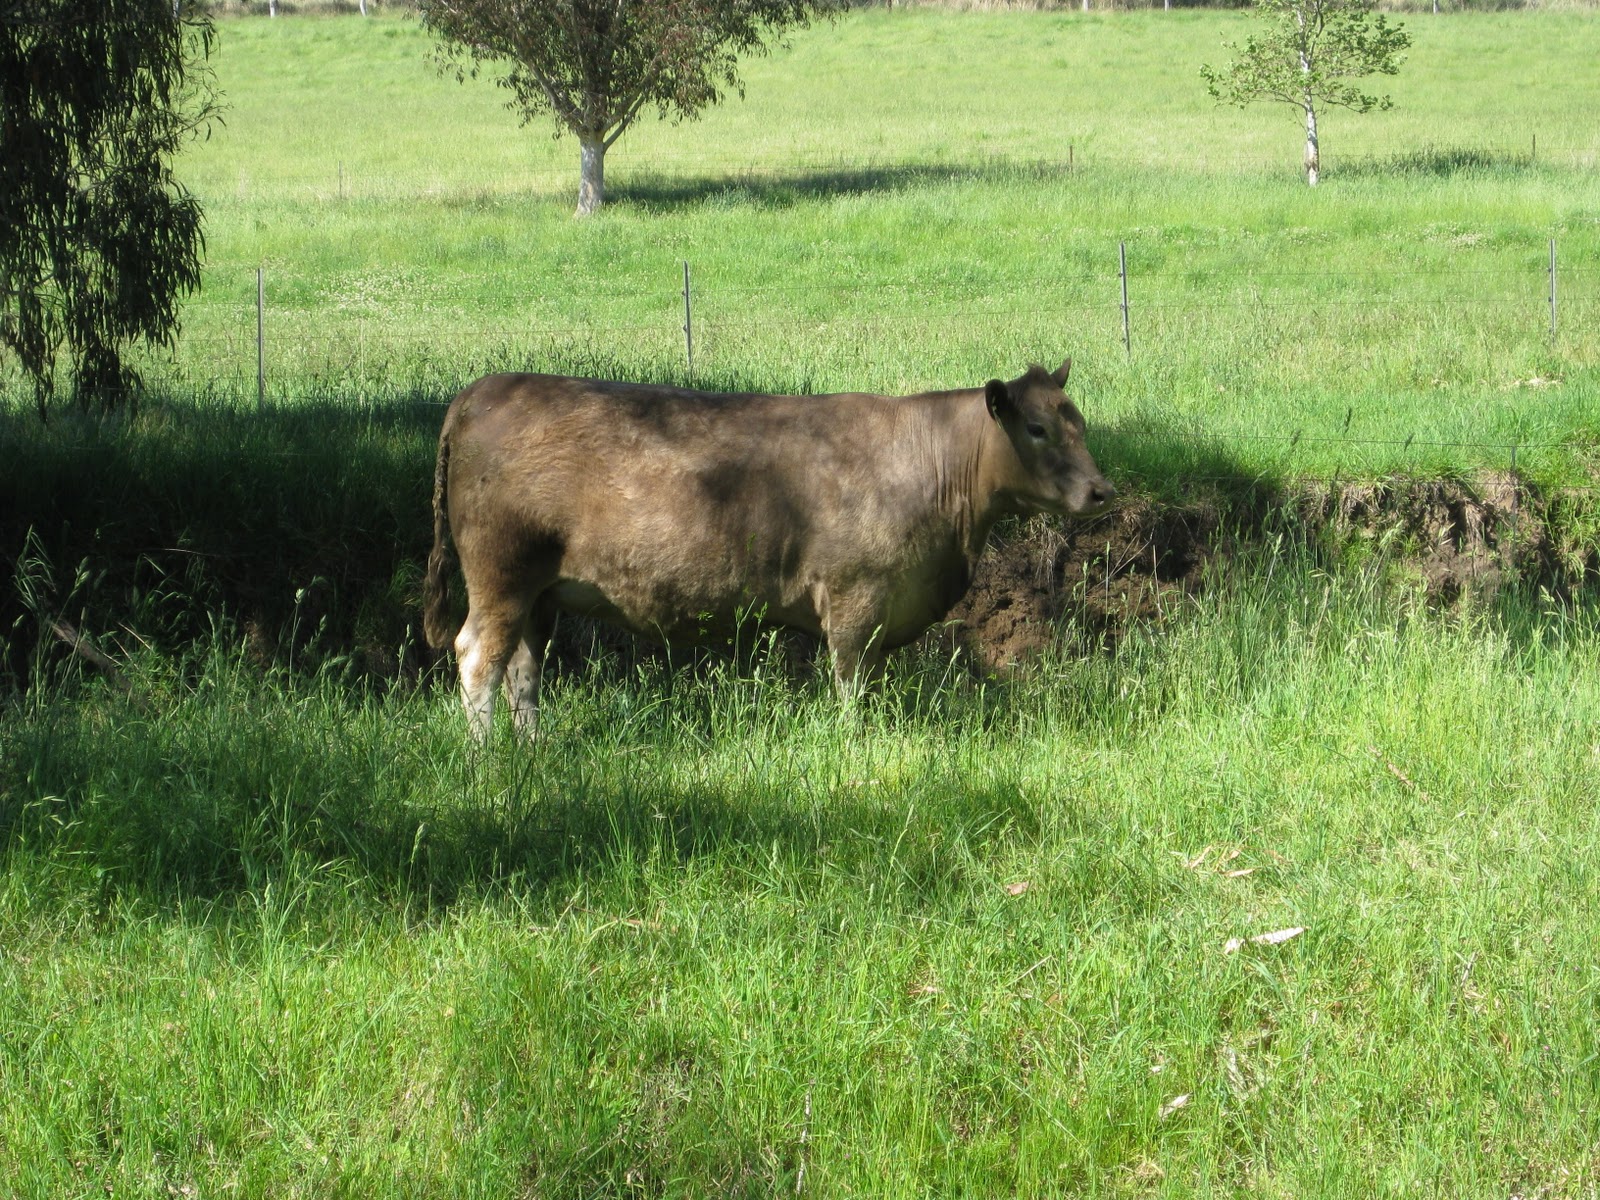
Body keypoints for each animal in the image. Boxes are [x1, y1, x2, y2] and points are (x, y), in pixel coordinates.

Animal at [423, 359, 1114, 738]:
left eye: (1079, 423)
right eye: (1037, 428)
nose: (1102, 490)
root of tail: (481, 391)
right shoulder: (856, 601)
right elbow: (849, 688)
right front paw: (852, 744)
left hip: (538, 592)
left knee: (524, 666)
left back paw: (532, 749)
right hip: (502, 573)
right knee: (478, 656)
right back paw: (487, 759)